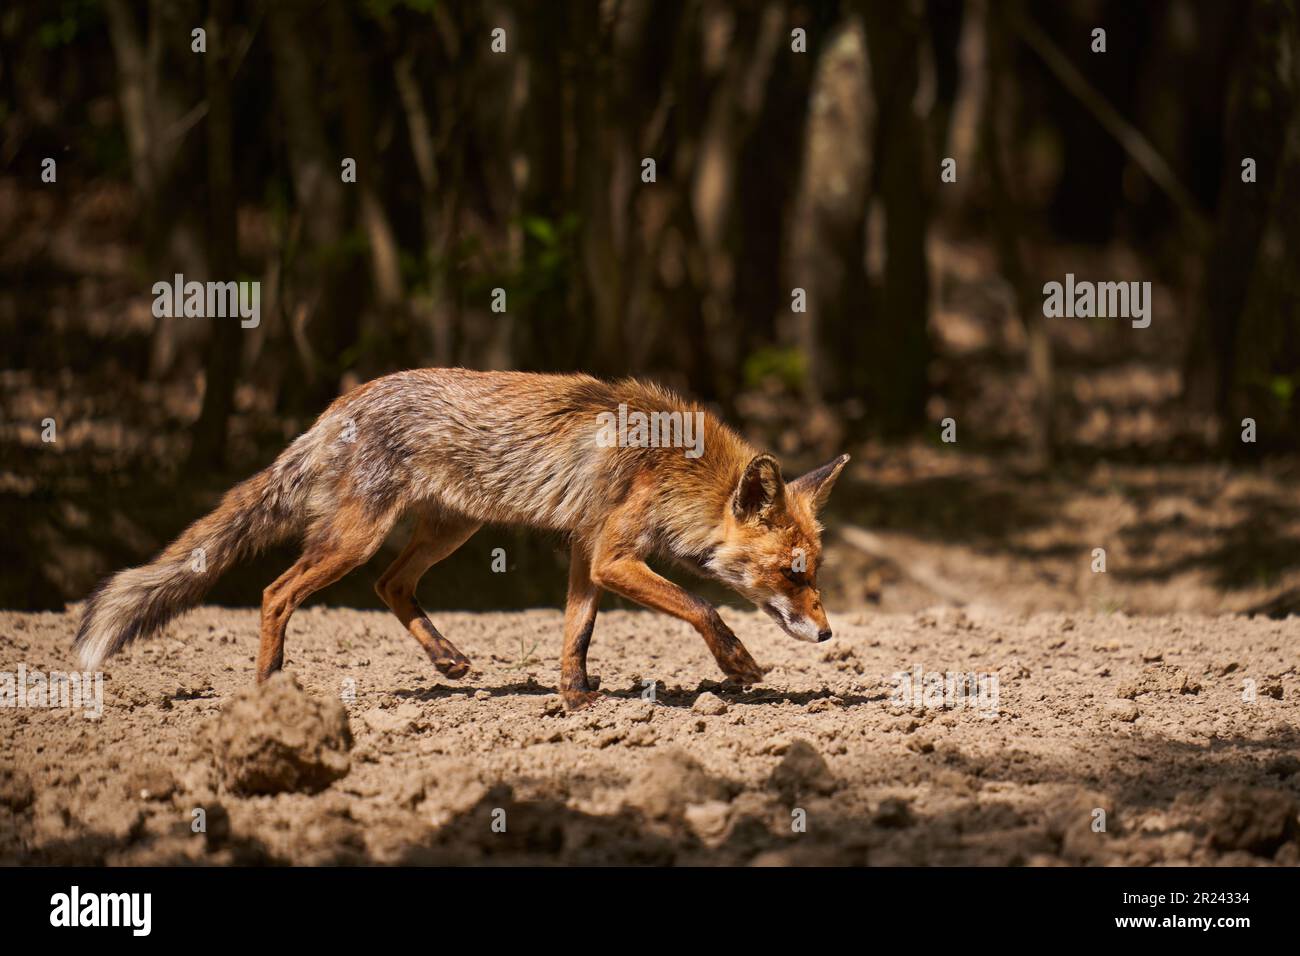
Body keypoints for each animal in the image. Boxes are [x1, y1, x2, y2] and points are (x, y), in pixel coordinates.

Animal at [74, 368, 849, 710]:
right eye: (793, 574)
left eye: (814, 572)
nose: (828, 634)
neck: (669, 466)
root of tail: (337, 405)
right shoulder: (612, 554)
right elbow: (703, 607)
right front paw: (738, 664)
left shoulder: (586, 553)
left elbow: (577, 630)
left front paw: (575, 699)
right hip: (358, 538)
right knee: (275, 592)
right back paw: (269, 691)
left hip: (447, 530)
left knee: (390, 584)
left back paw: (446, 659)